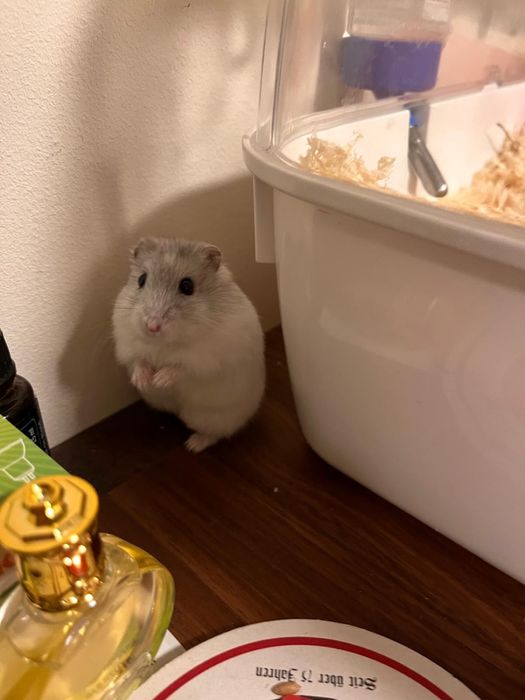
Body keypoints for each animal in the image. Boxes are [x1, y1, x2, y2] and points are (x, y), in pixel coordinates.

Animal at [112, 237, 265, 452]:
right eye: (141, 280)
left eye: (187, 286)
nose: (152, 326)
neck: (164, 342)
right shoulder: (127, 343)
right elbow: (139, 361)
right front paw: (144, 381)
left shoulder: (205, 359)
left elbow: (180, 367)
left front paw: (159, 380)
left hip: (212, 418)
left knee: (216, 433)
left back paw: (193, 445)